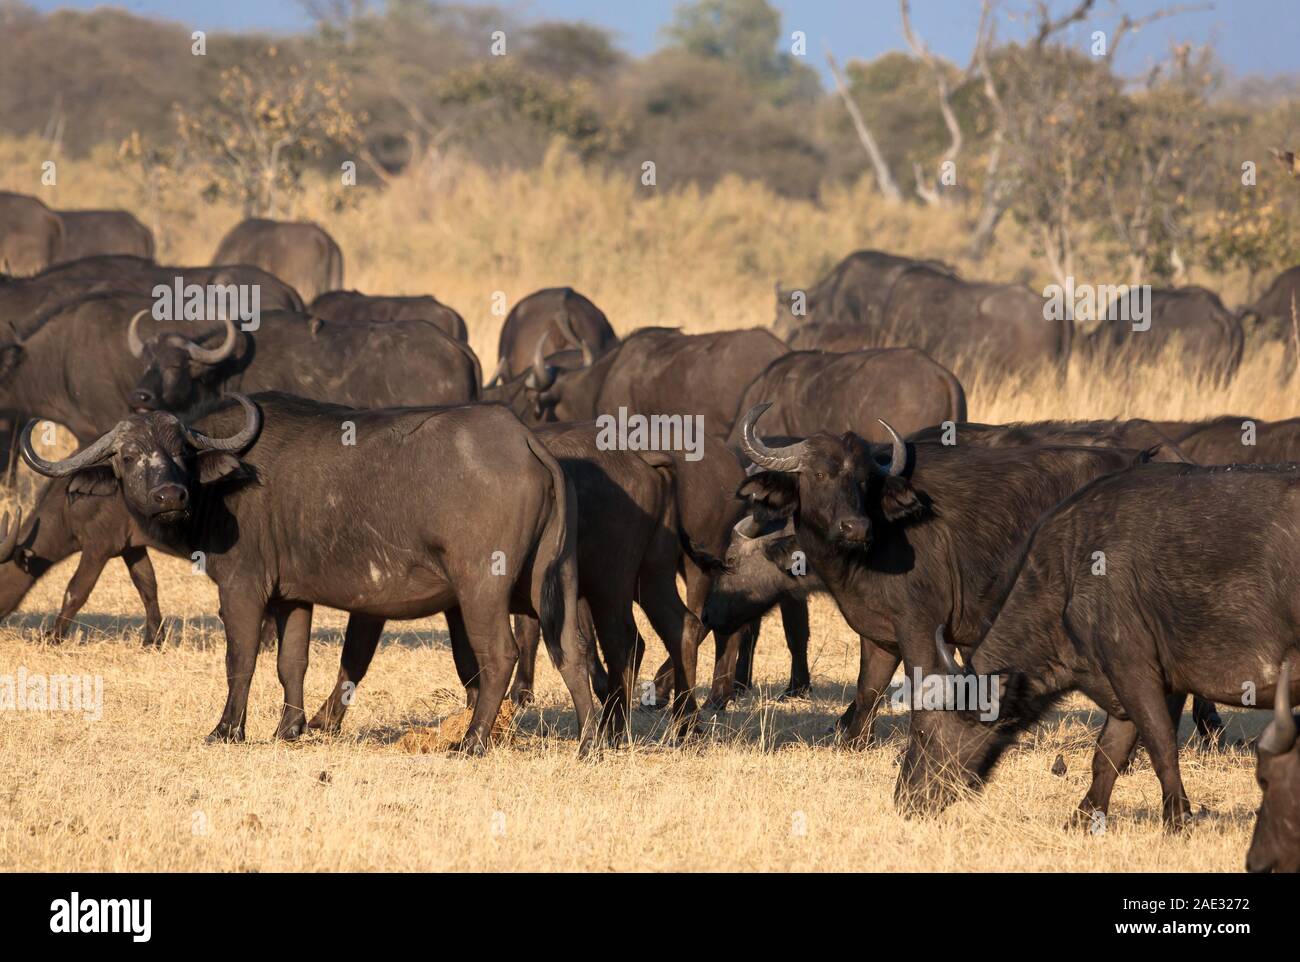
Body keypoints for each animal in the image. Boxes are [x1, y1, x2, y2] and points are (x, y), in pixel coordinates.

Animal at [21, 392, 596, 753]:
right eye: (127, 455)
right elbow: (290, 662)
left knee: (499, 656)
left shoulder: (242, 587)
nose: (169, 495)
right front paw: (289, 727)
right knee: (573, 652)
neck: (222, 489)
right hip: (557, 580)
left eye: (180, 450)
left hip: (480, 588)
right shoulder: (292, 596)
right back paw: (590, 740)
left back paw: (473, 742)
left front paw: (227, 729)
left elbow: (241, 660)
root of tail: (524, 439)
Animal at [896, 461, 1300, 832]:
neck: (1071, 571)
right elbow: (1108, 754)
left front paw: (1176, 820)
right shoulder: (1144, 685)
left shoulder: (1132, 670)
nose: (903, 798)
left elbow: (1161, 746)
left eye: (922, 734)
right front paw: (1081, 819)